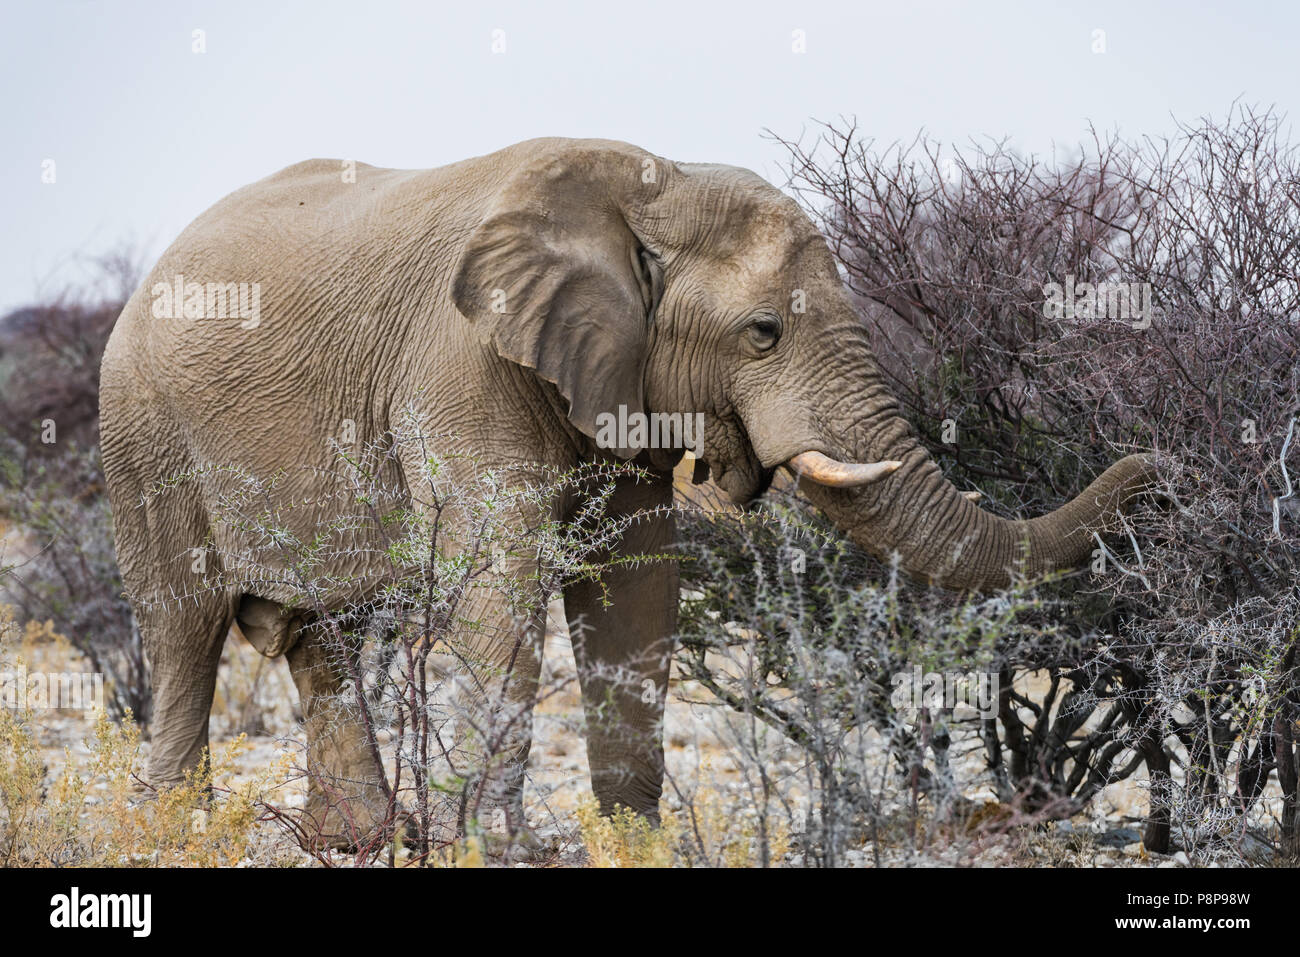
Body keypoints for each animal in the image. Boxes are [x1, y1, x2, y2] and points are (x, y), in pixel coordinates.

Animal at [98, 137, 1156, 847]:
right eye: (764, 332)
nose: (1154, 469)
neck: (651, 184)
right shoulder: (460, 364)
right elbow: (501, 585)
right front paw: (496, 846)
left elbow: (637, 584)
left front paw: (633, 841)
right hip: (142, 433)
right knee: (184, 628)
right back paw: (176, 830)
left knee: (326, 638)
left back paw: (353, 839)